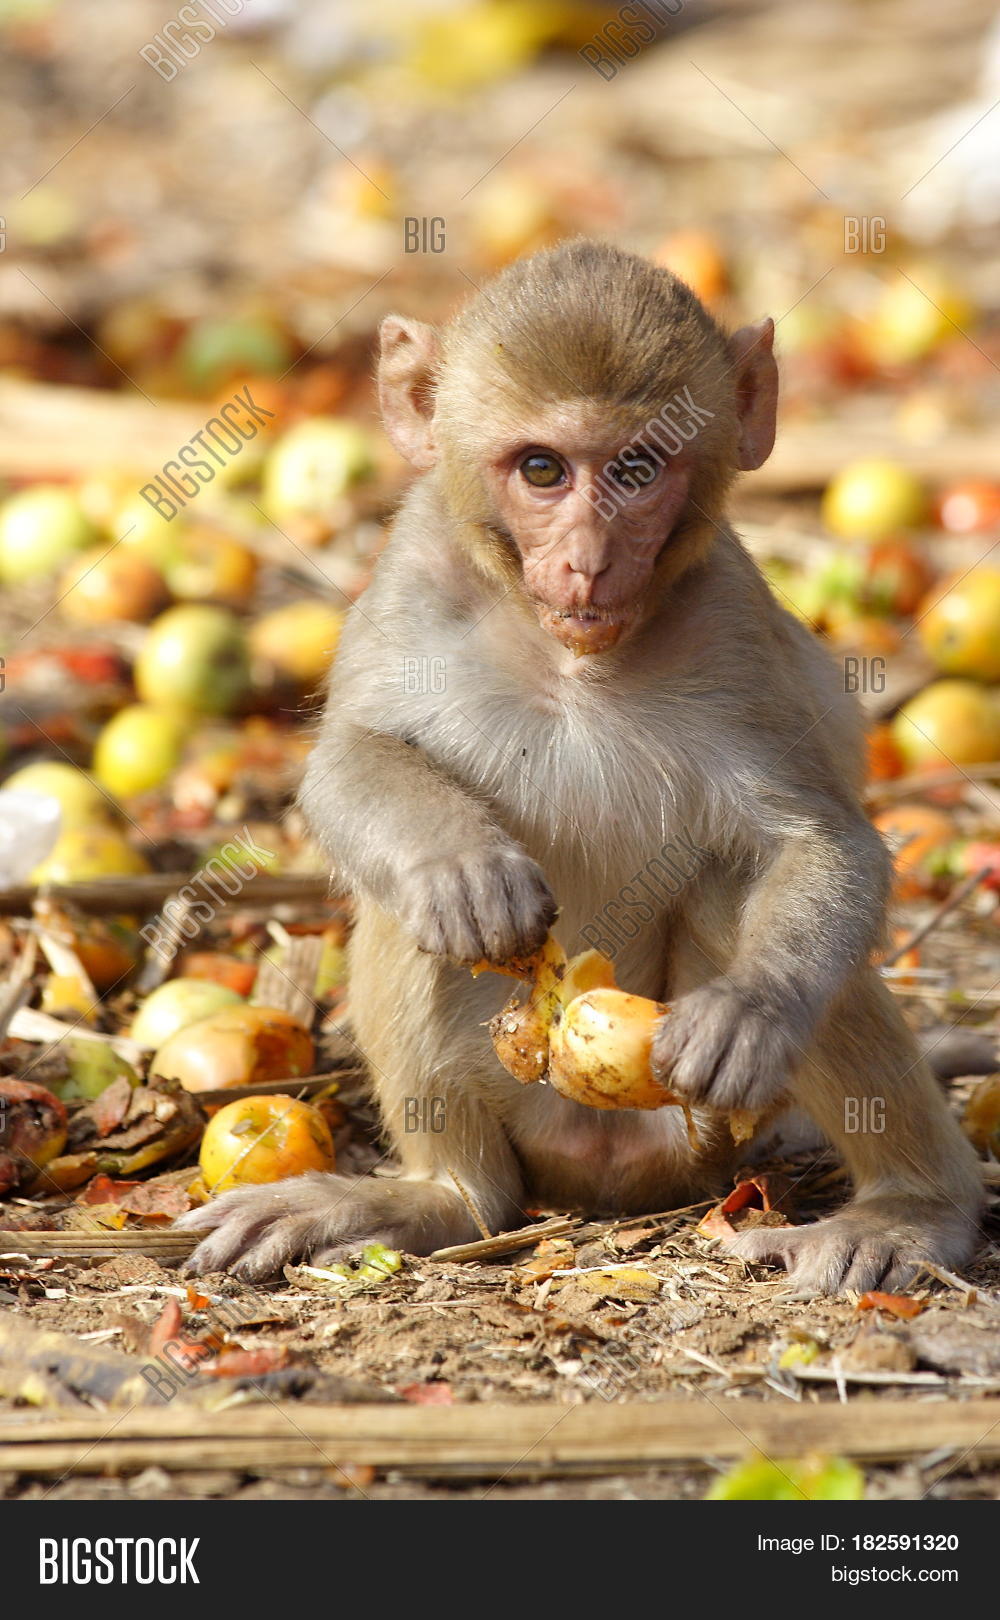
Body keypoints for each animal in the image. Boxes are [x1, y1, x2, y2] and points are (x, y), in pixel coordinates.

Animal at [180, 239, 983, 1293]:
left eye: (637, 469)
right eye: (542, 469)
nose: (589, 561)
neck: (573, 658)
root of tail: (602, 1170)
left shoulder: (731, 622)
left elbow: (821, 840)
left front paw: (754, 1011)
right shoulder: (413, 568)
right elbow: (354, 759)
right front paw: (461, 869)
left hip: (707, 1133)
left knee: (746, 892)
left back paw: (911, 1211)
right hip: (525, 1115)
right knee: (410, 931)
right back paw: (438, 1194)